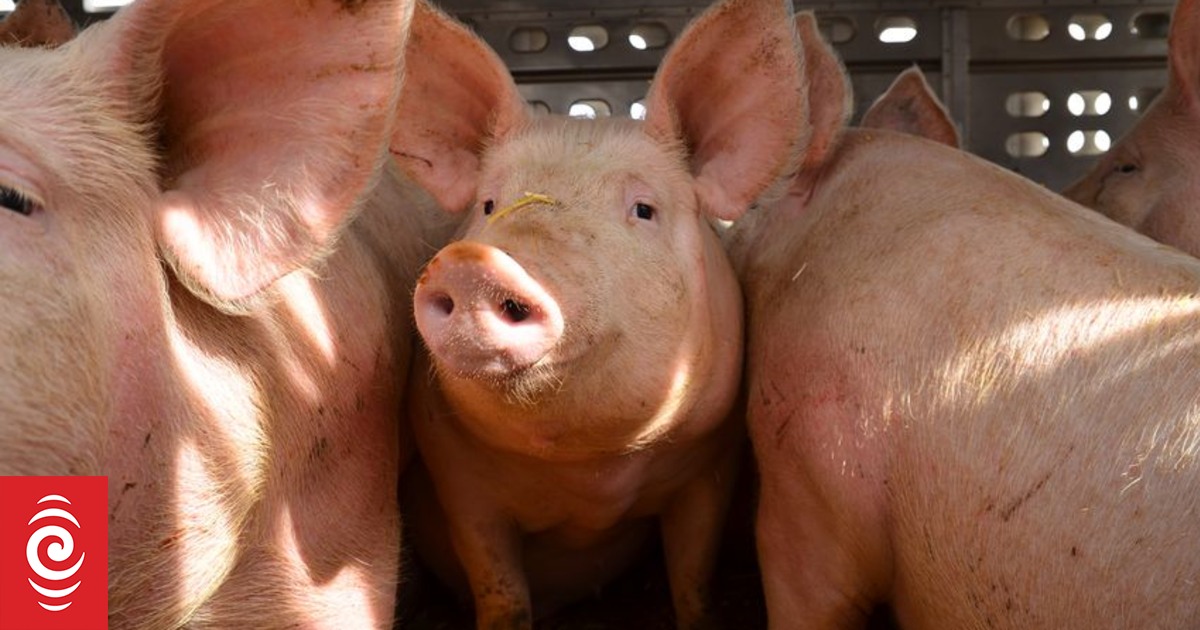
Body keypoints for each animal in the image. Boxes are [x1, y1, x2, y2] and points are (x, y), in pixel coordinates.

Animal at [389, 0, 806, 627]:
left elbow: (693, 573)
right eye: (488, 204)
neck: (589, 470)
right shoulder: (457, 478)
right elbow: (498, 586)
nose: (473, 264)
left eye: (643, 209)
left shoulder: (713, 461)